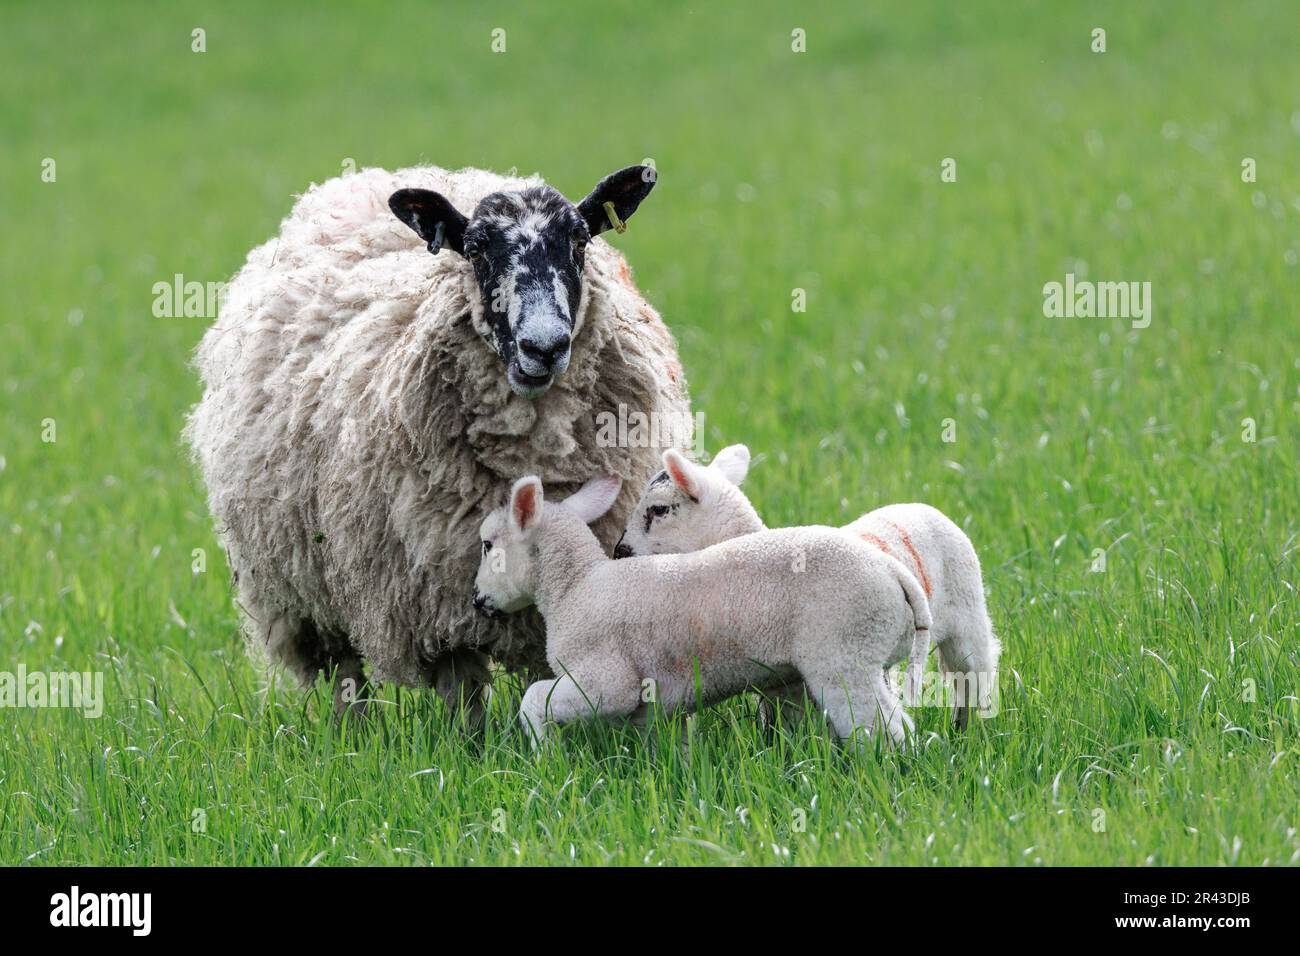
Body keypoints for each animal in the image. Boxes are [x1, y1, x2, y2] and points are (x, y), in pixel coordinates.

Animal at [184, 163, 692, 722]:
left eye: (580, 241)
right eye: (475, 250)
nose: (545, 347)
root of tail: (363, 180)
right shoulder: (435, 600)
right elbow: (461, 700)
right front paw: (469, 741)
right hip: (300, 589)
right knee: (343, 676)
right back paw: (351, 733)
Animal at [471, 460, 934, 750]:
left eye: (488, 545)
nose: (477, 601)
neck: (574, 586)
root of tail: (896, 574)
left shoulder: (605, 681)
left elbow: (534, 698)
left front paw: (545, 753)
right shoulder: (655, 705)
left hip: (846, 656)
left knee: (885, 732)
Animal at [612, 444, 1002, 726]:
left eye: (658, 509)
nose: (619, 552)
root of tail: (922, 505)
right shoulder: (782, 683)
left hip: (967, 619)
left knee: (976, 675)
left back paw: (973, 729)